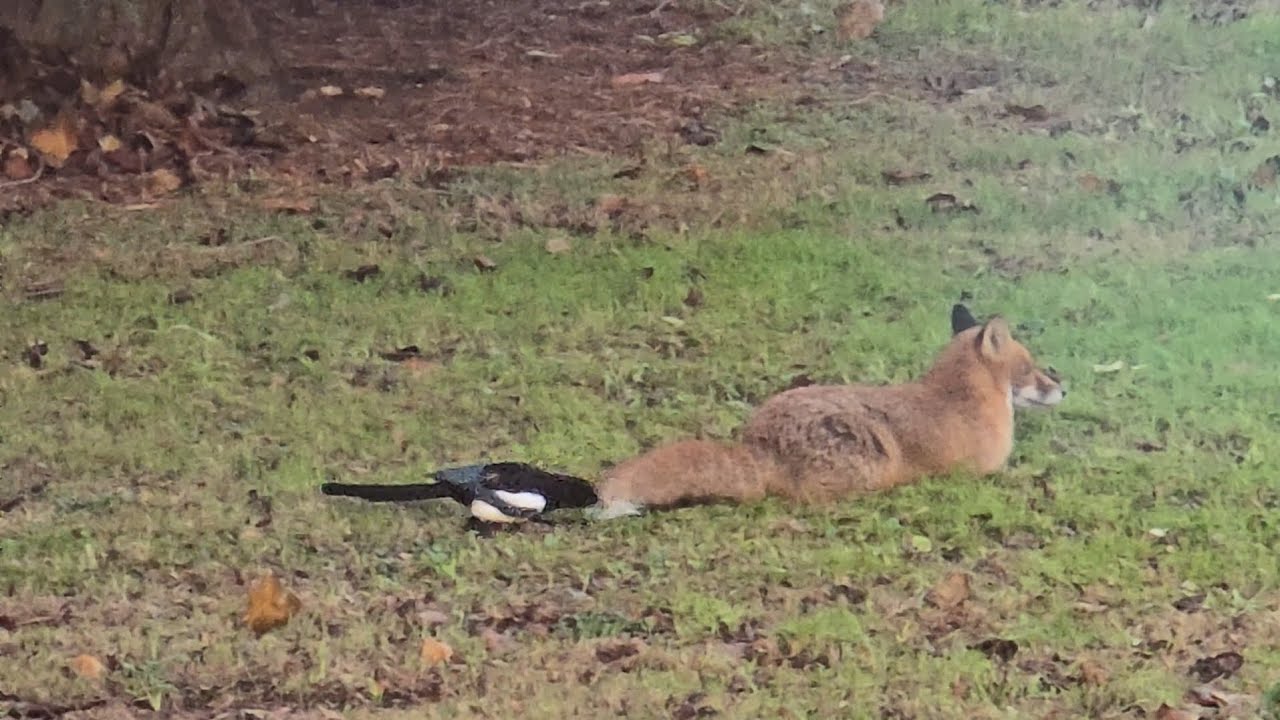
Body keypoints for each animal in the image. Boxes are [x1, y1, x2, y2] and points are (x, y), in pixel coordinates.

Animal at [590, 304, 1065, 519]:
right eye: (1029, 368)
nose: (1062, 388)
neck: (962, 399)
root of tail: (756, 446)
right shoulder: (979, 471)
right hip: (873, 462)